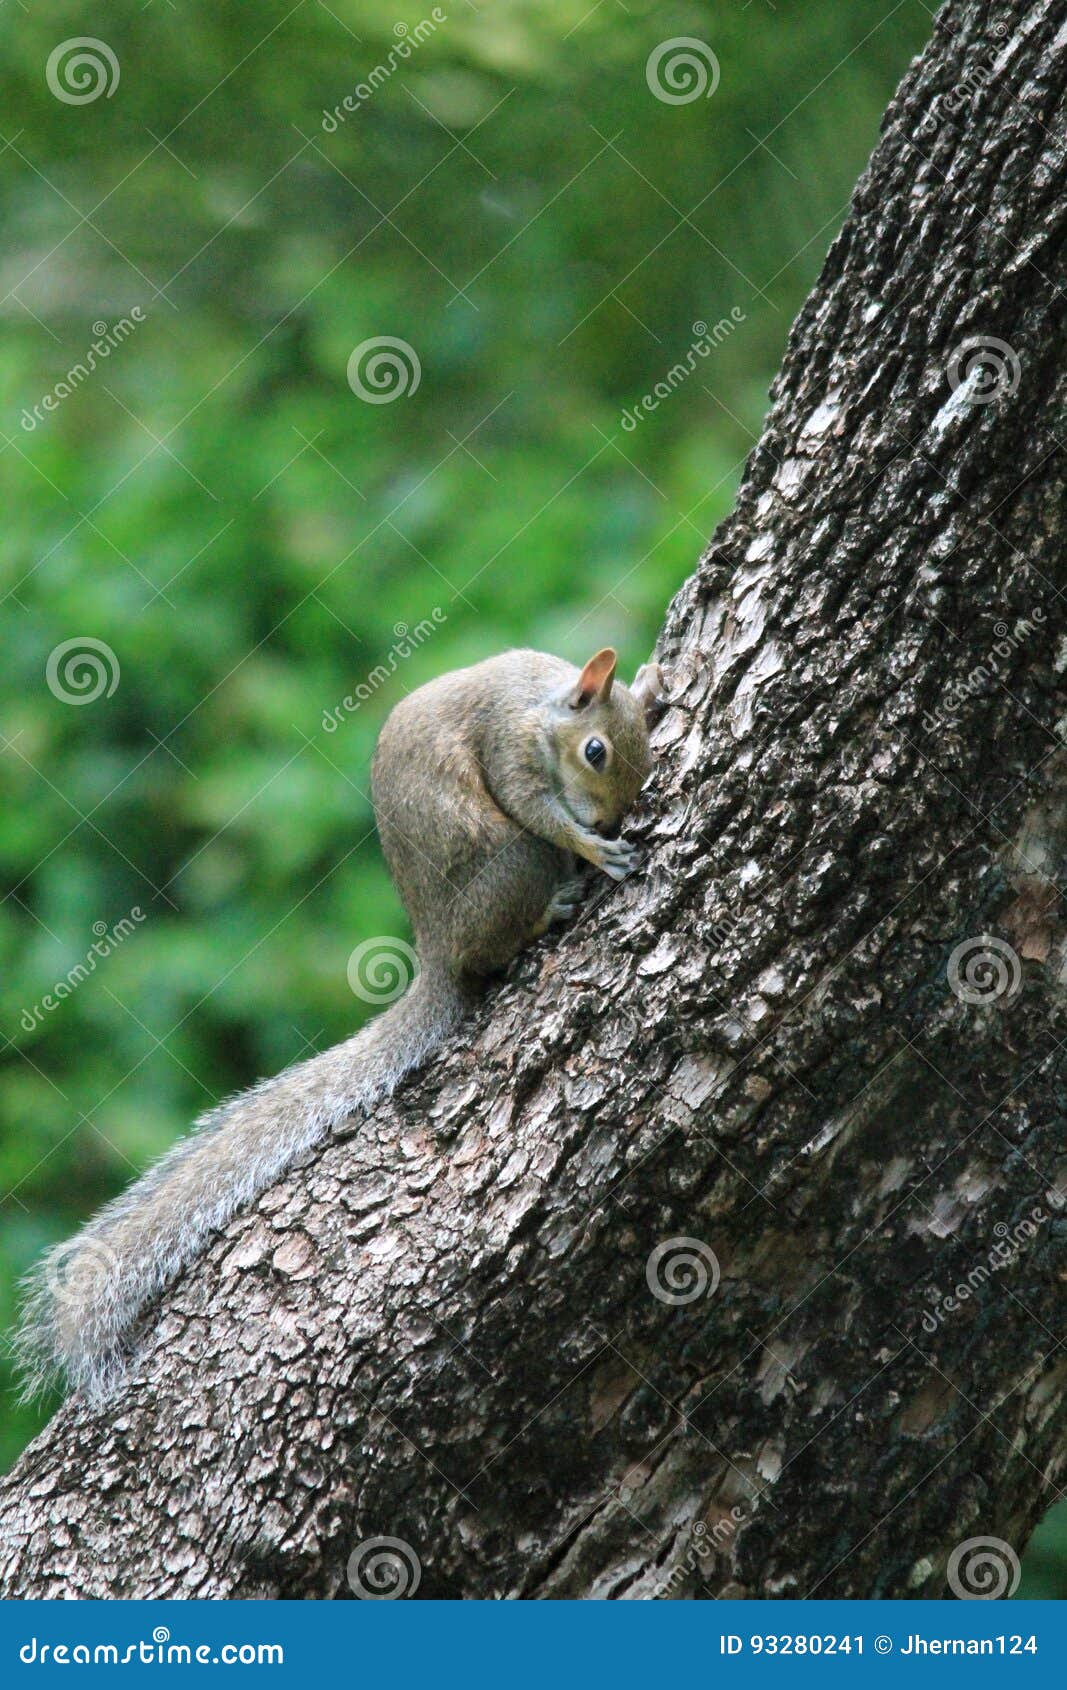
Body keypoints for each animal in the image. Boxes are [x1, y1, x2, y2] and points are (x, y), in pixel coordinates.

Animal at [17, 646, 661, 1402]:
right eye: (594, 752)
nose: (611, 820)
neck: (545, 700)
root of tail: (438, 951)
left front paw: (652, 682)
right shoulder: (510, 744)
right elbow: (533, 805)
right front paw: (590, 847)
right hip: (511, 866)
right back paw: (549, 907)